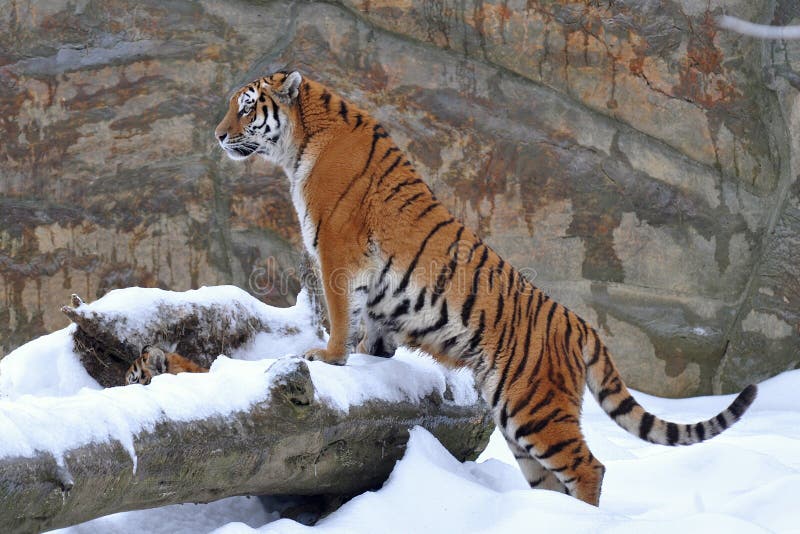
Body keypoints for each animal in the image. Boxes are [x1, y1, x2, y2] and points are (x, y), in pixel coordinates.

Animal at [214, 70, 757, 506]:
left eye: (246, 107)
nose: (218, 136)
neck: (300, 142)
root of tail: (580, 322)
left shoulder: (337, 252)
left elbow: (342, 312)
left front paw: (328, 357)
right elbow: (374, 323)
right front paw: (372, 356)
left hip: (534, 408)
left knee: (590, 467)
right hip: (519, 419)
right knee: (553, 478)